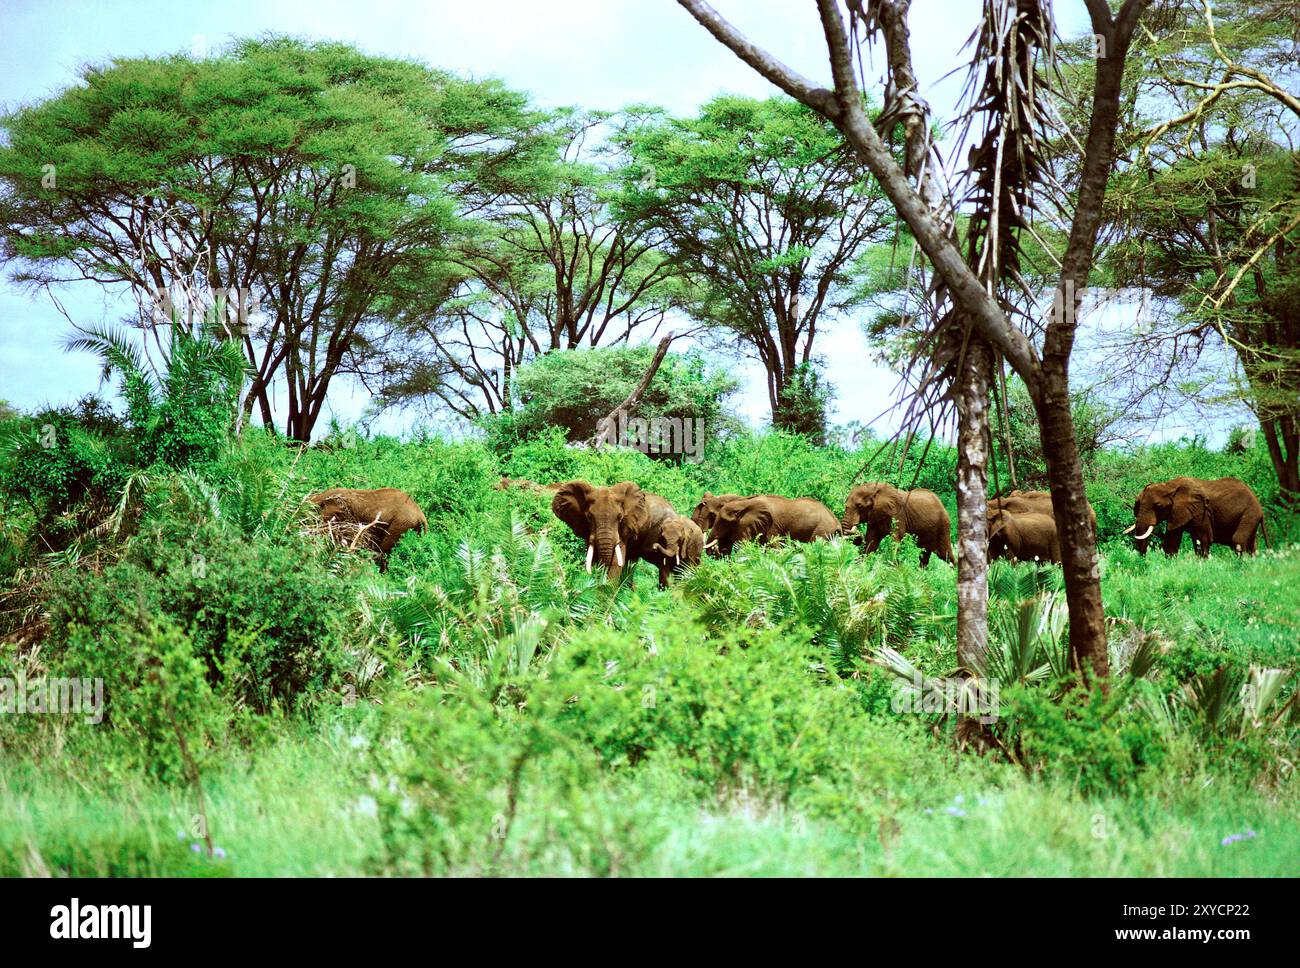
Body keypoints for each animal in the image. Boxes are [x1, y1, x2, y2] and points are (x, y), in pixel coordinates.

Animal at [708, 495, 839, 556]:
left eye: (723, 522)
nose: (714, 550)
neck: (744, 502)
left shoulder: (772, 527)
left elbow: (774, 550)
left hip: (822, 530)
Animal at [1126, 476, 1265, 556]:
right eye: (1137, 502)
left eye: (1158, 505)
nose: (1143, 559)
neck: (1170, 486)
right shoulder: (1178, 512)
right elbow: (1172, 541)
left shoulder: (1201, 511)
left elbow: (1203, 539)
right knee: (1251, 545)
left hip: (1250, 513)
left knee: (1238, 541)